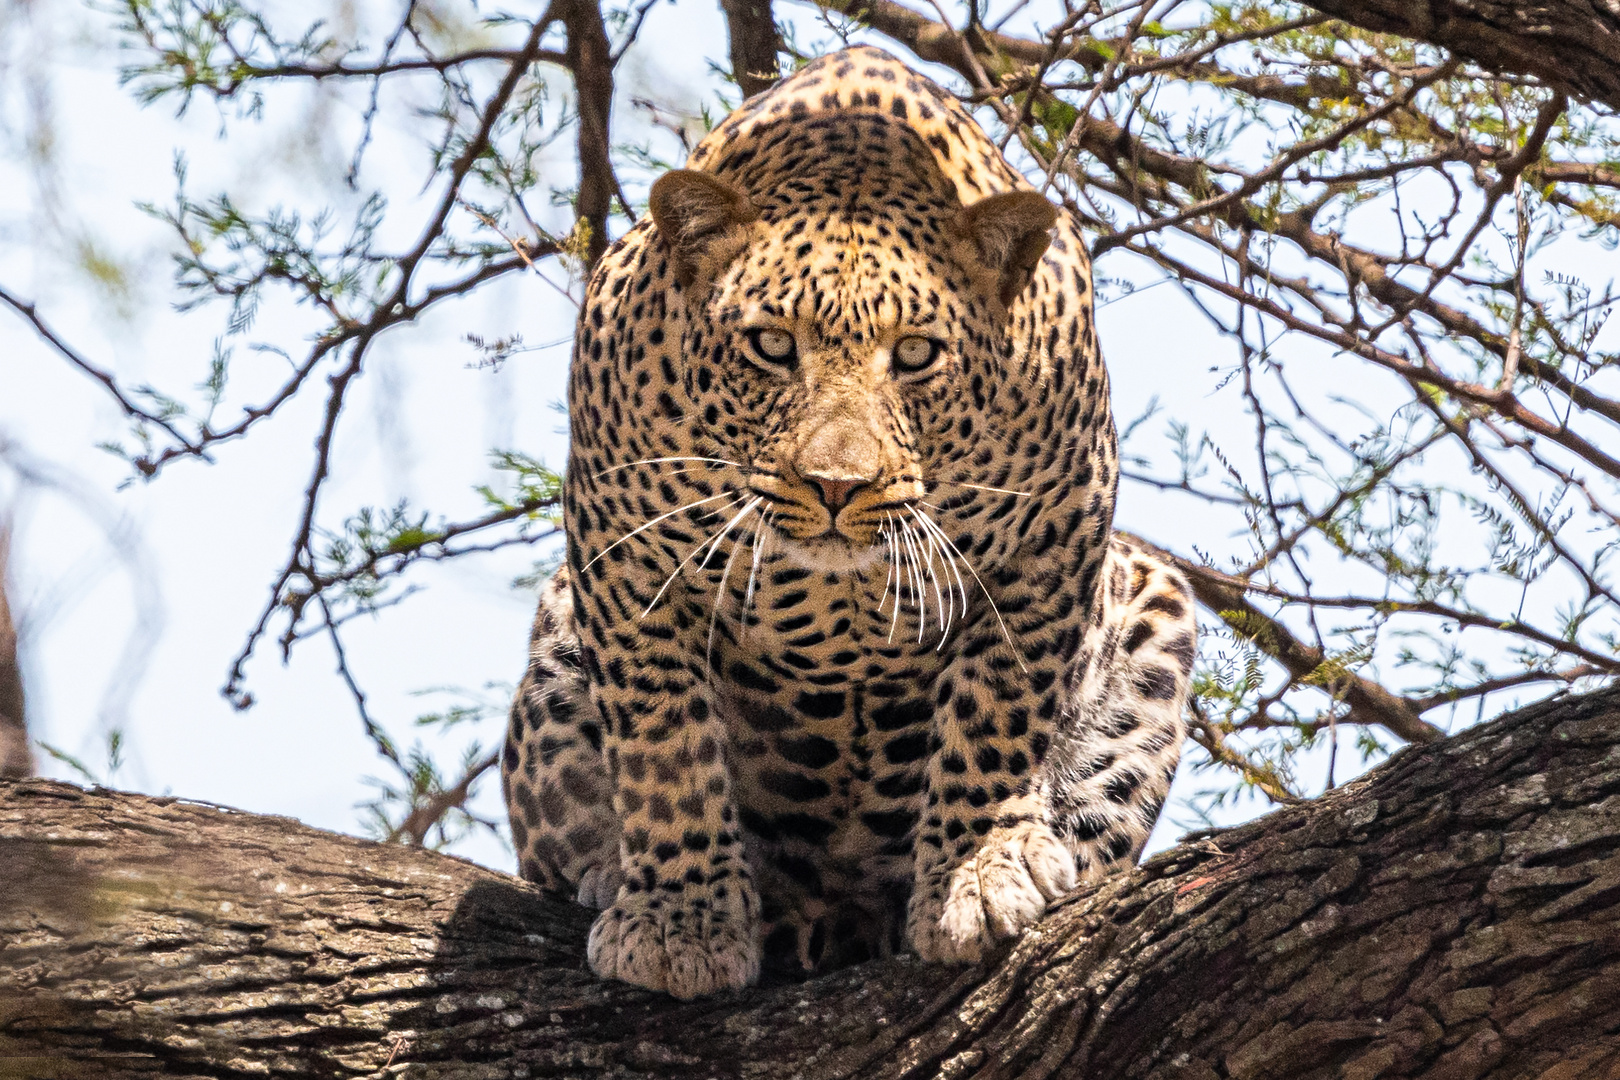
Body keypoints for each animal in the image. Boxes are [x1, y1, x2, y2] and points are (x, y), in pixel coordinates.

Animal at [498, 46, 1198, 1003]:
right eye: (770, 346)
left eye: (915, 355)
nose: (836, 485)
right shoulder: (623, 548)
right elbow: (664, 744)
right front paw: (681, 921)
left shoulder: (1055, 531)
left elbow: (999, 710)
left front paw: (978, 874)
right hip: (557, 632)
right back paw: (612, 873)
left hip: (1158, 605)